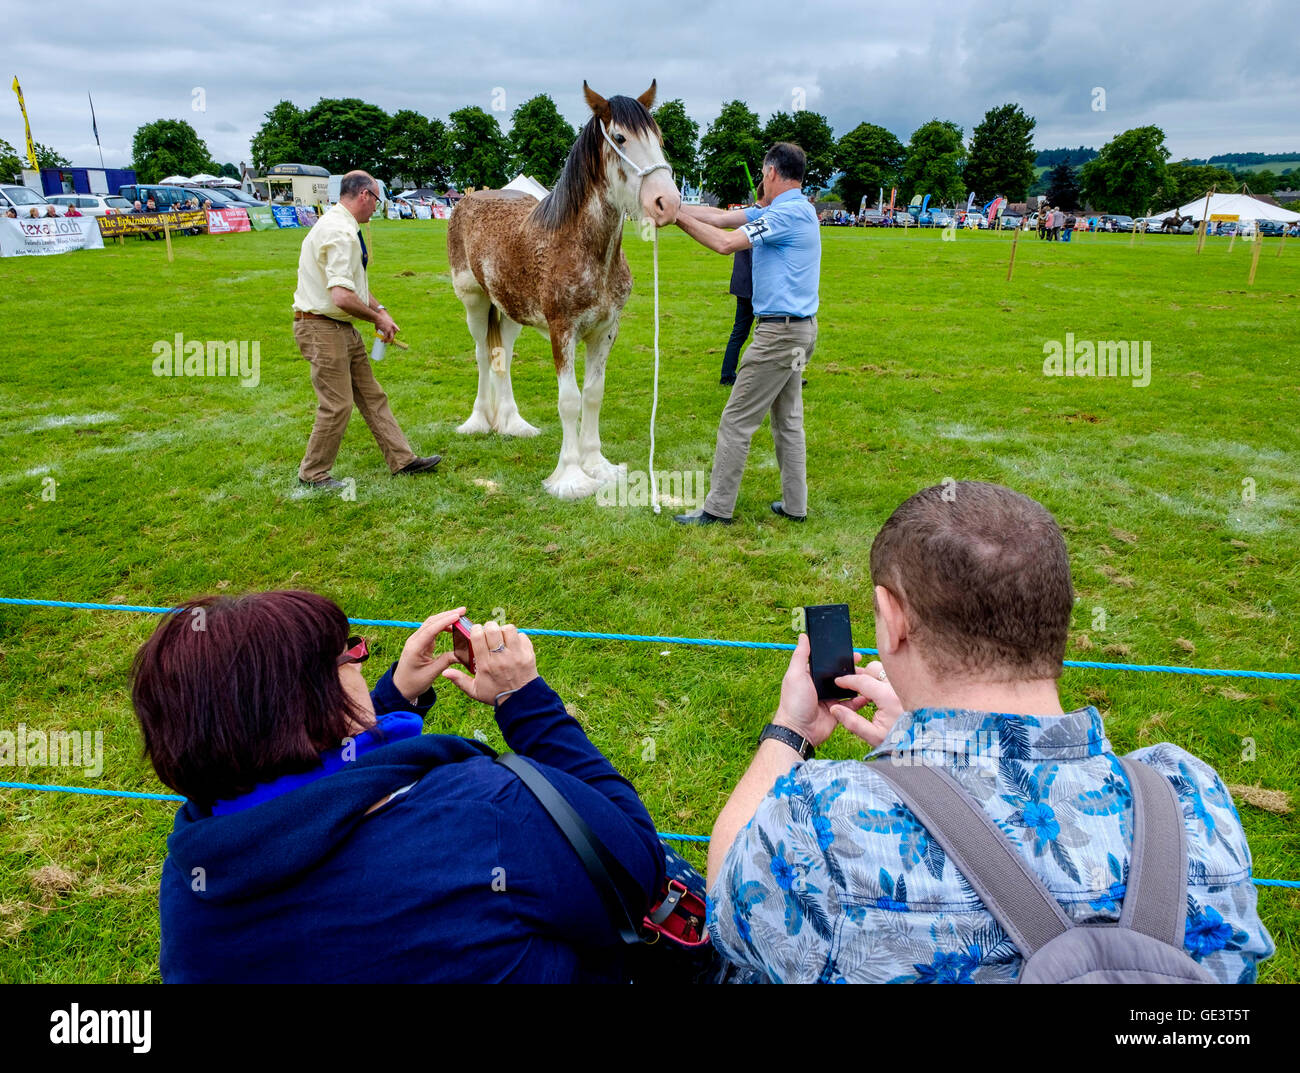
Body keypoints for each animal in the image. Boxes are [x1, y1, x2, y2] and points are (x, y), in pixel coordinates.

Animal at [447, 81, 680, 499]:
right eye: (621, 137)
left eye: (659, 138)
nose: (666, 202)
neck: (581, 245)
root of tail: (471, 198)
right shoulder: (563, 331)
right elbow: (569, 400)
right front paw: (571, 476)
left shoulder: (605, 331)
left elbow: (593, 395)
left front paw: (598, 466)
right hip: (475, 303)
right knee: (481, 355)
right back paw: (477, 422)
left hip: (510, 312)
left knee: (501, 354)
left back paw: (513, 424)